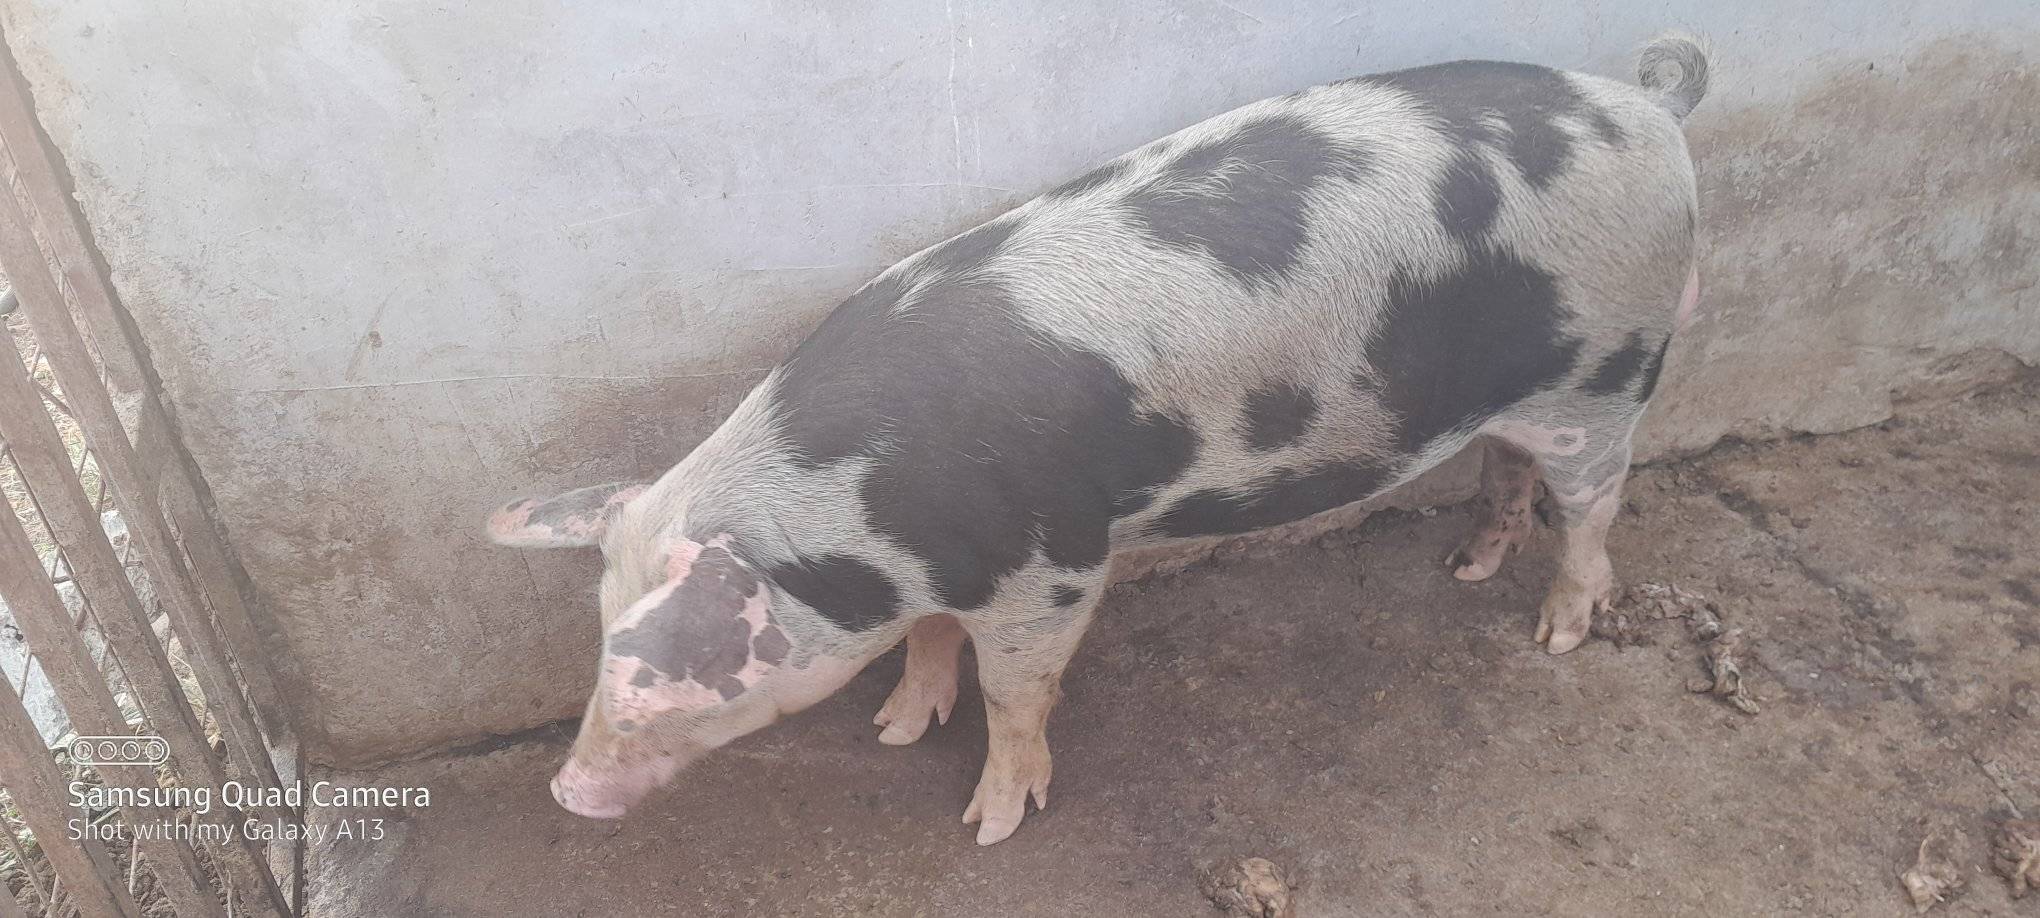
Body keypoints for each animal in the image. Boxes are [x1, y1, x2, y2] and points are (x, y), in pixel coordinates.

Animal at [487, 36, 1710, 845]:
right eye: (600, 636)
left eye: (659, 683)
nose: (566, 793)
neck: (871, 528)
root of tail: (1649, 108)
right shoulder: (955, 568)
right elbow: (931, 645)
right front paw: (894, 730)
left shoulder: (1056, 566)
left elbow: (1014, 689)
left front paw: (988, 824)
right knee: (1510, 468)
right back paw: (1468, 566)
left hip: (1615, 369)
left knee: (1595, 507)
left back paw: (1559, 632)